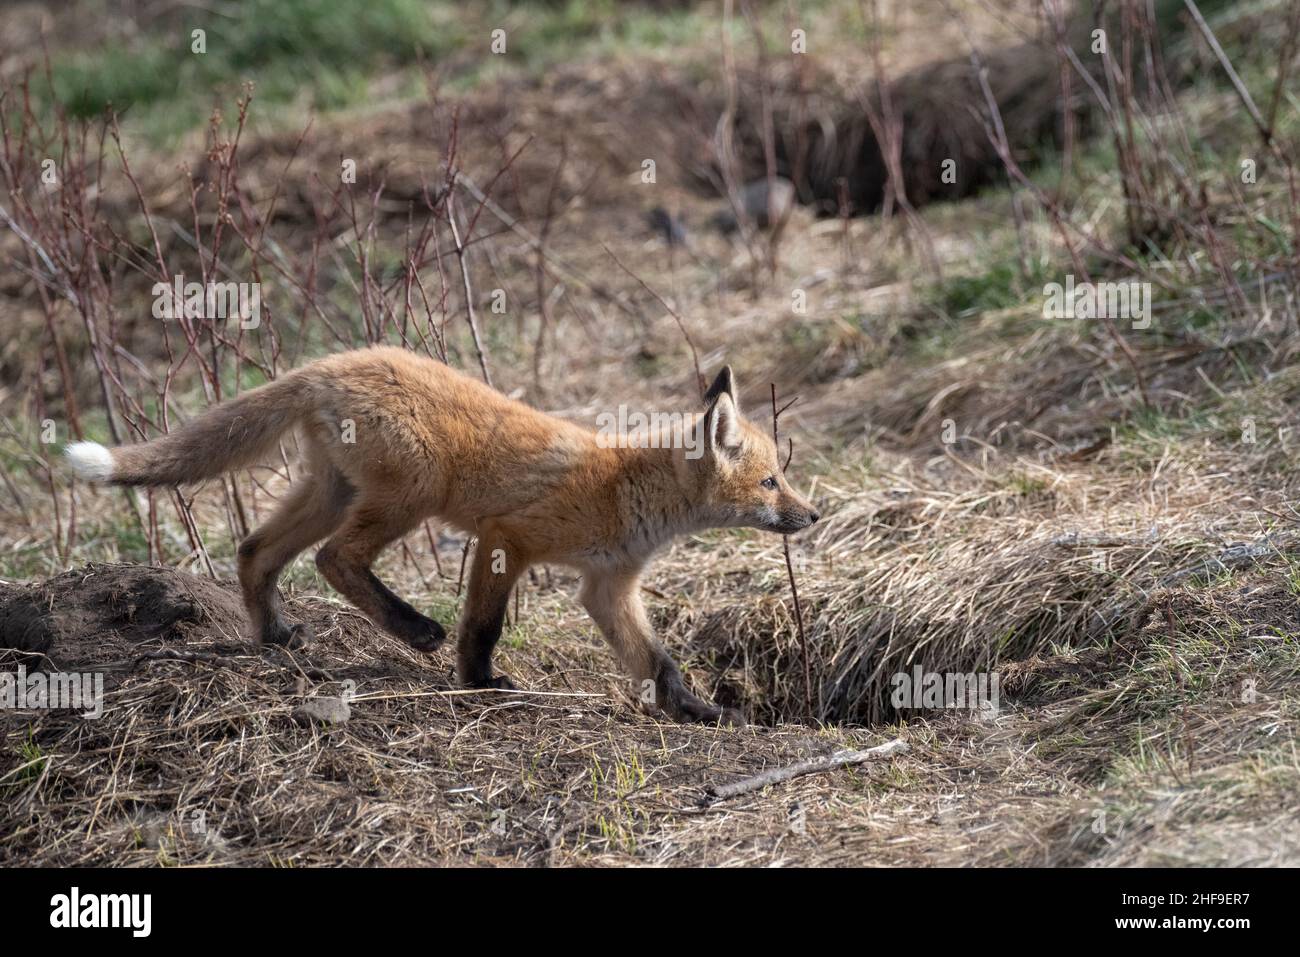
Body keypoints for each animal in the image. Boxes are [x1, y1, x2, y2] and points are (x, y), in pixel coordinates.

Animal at [65, 347, 820, 724]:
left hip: (334, 491)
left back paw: (274, 633)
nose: (812, 516)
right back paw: (412, 628)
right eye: (770, 482)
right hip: (410, 493)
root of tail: (326, 362)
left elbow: (657, 661)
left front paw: (697, 710)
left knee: (257, 549)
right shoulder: (507, 537)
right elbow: (482, 625)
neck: (622, 489)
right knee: (334, 559)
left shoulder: (608, 587)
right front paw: (479, 682)